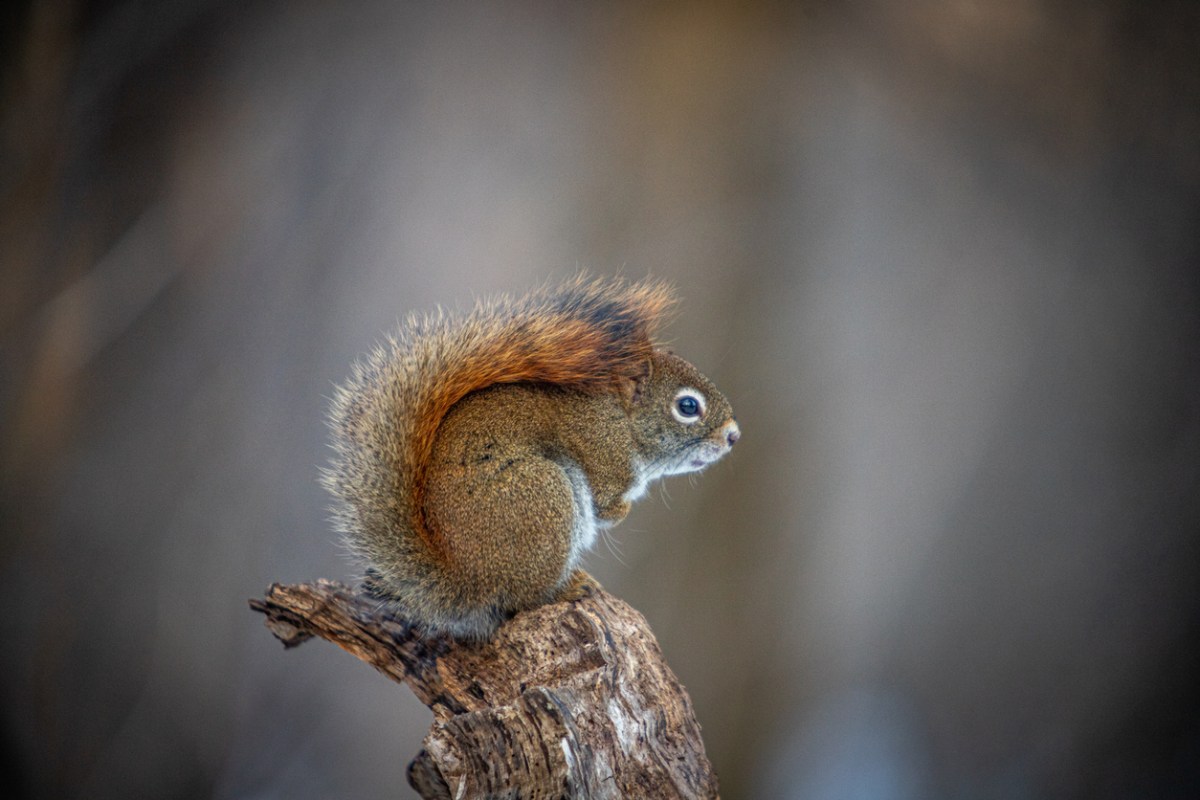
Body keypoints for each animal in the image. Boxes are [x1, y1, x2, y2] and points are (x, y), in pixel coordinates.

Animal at [321, 275, 739, 640]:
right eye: (687, 406)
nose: (734, 436)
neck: (620, 420)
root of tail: (466, 583)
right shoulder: (604, 461)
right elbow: (606, 506)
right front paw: (623, 512)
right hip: (544, 495)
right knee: (524, 599)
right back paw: (568, 588)